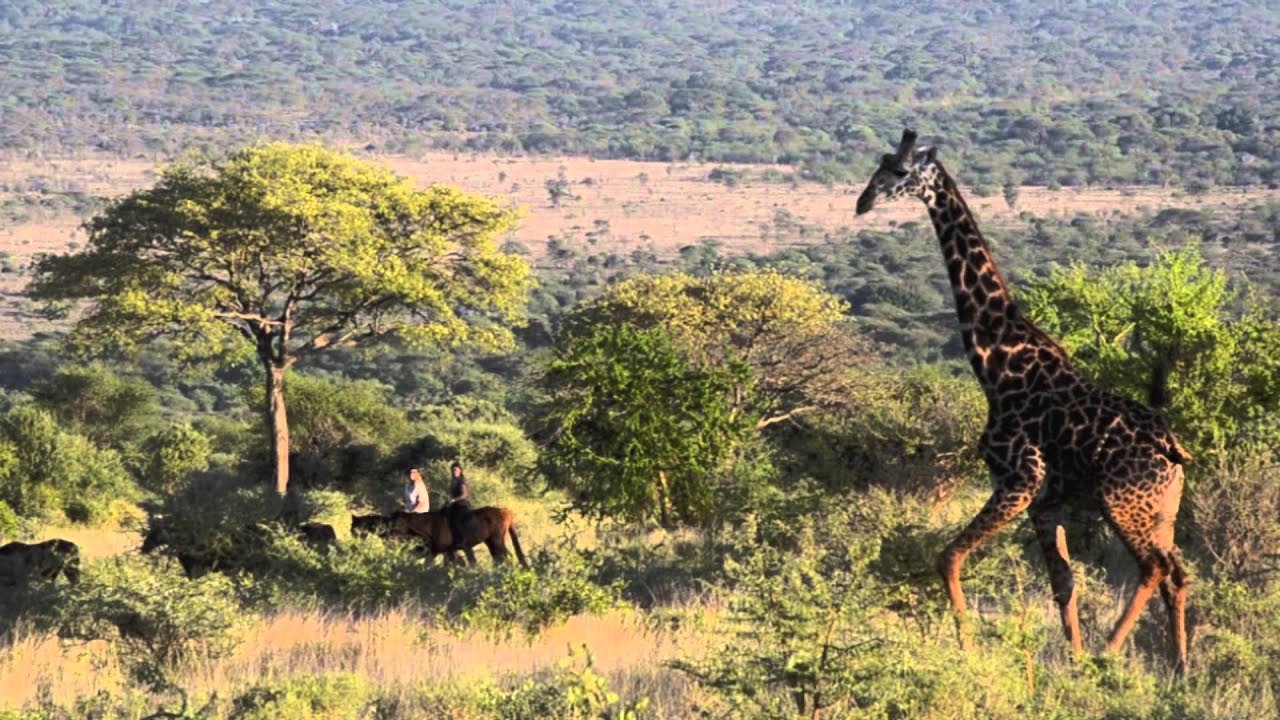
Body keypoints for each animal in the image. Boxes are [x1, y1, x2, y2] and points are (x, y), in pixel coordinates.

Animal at [389, 507, 528, 567]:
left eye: (398, 522)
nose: (389, 532)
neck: (430, 525)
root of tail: (507, 511)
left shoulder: (443, 551)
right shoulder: (443, 551)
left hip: (497, 540)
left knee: (506, 556)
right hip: (491, 542)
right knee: (500, 557)